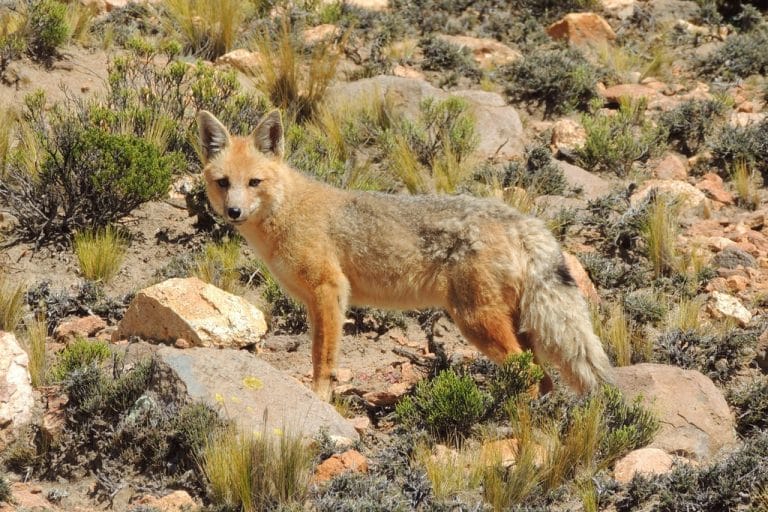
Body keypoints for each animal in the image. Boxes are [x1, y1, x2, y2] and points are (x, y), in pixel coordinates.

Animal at [196, 109, 613, 401]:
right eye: (223, 183)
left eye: (254, 182)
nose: (233, 212)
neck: (287, 209)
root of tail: (521, 219)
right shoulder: (317, 301)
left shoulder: (329, 291)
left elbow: (322, 360)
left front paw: (320, 400)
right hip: (510, 326)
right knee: (545, 380)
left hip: (475, 321)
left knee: (527, 374)